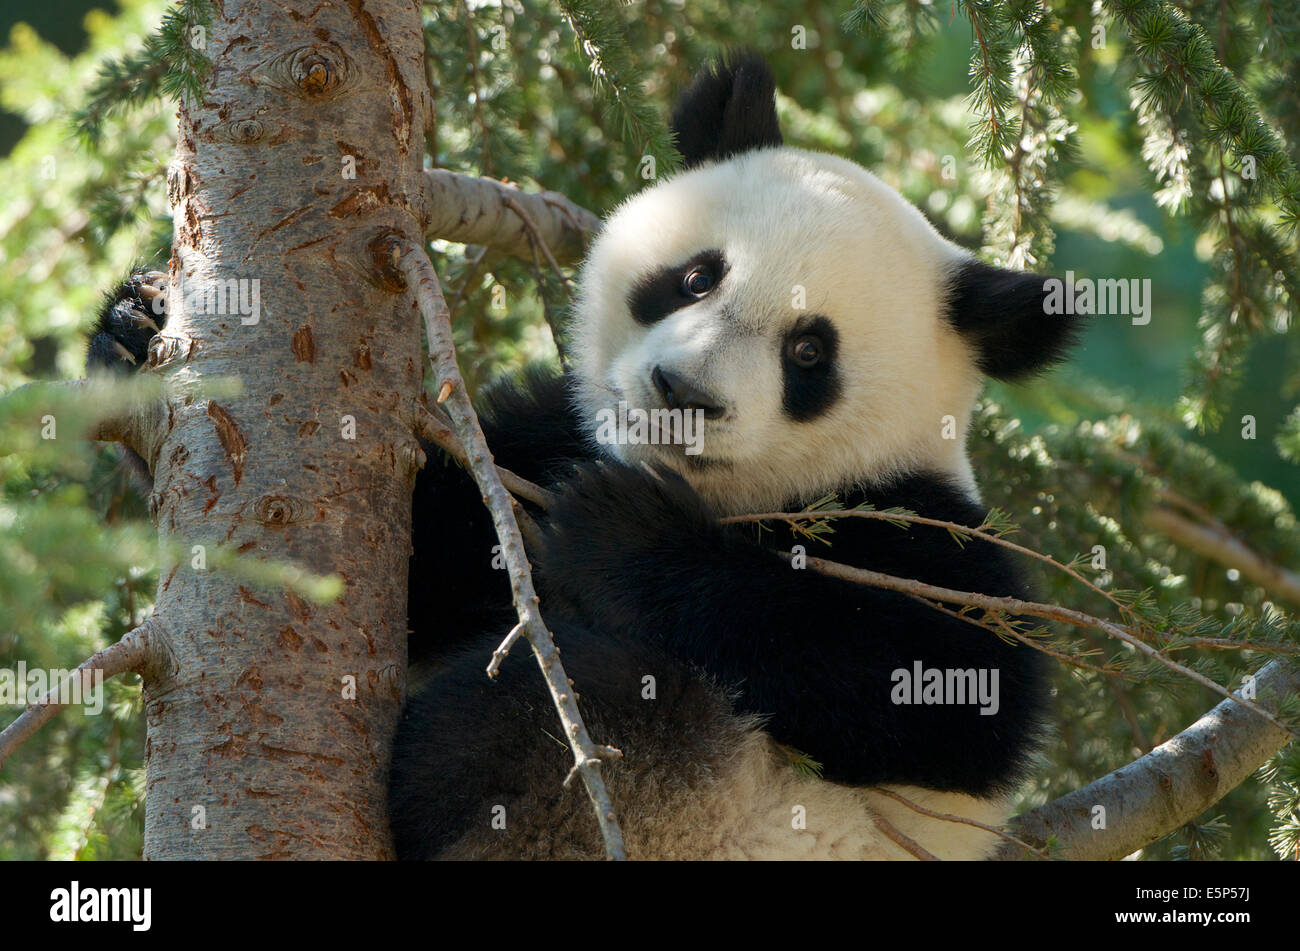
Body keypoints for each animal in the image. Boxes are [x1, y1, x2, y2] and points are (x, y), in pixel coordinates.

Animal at [89, 54, 1077, 860]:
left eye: (809, 352)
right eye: (696, 276)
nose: (683, 392)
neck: (723, 489)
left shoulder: (916, 523)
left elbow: (949, 689)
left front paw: (625, 532)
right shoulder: (546, 444)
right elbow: (422, 558)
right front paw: (139, 333)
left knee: (580, 705)